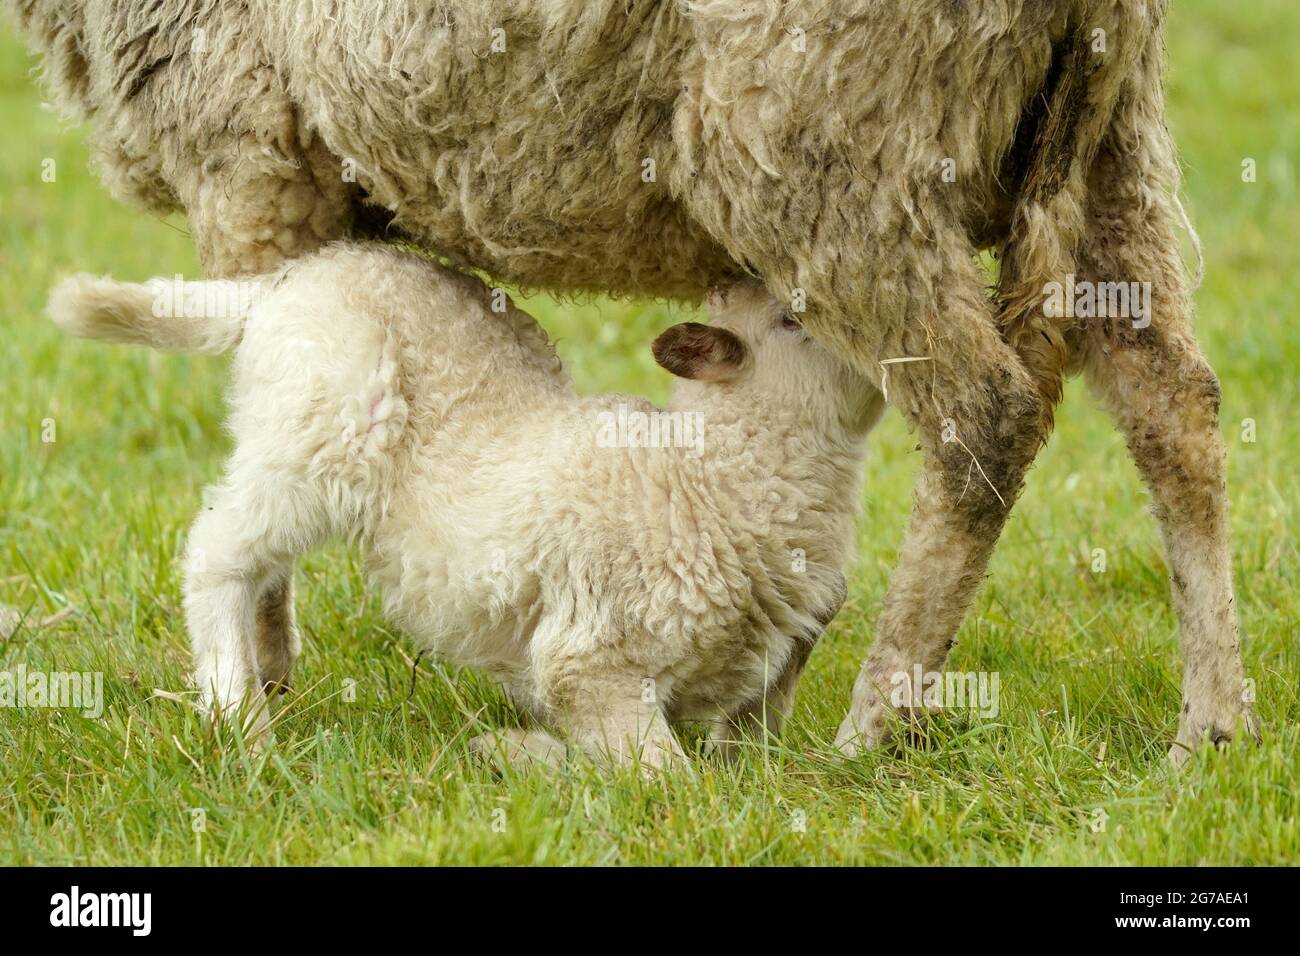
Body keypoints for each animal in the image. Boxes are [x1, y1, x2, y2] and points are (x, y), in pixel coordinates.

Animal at [46, 243, 881, 768]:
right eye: (794, 323)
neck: (704, 479)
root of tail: (291, 278)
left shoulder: (756, 684)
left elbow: (743, 763)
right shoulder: (592, 658)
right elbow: (665, 781)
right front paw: (522, 757)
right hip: (318, 427)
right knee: (217, 550)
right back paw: (239, 720)